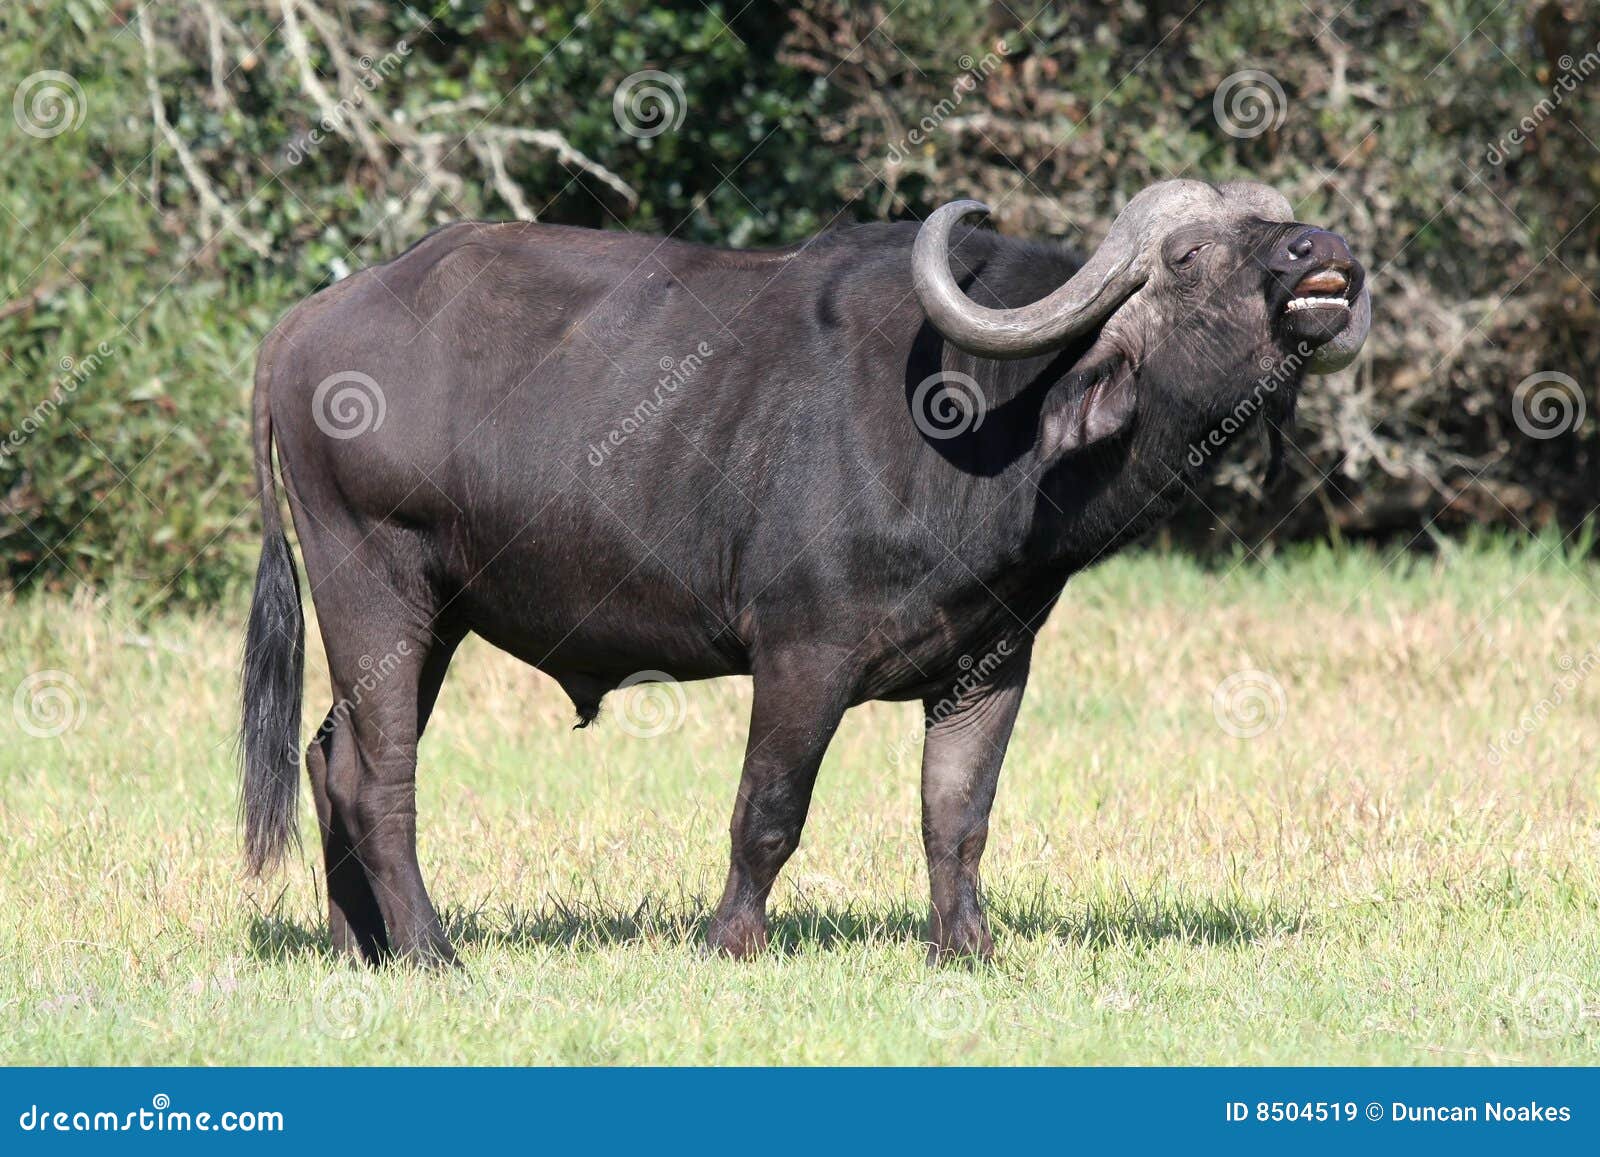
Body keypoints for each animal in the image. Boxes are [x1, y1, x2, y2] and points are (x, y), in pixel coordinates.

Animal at [240, 179, 1370, 966]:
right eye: (1188, 252)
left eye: (1277, 223)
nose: (1322, 252)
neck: (988, 417)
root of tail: (302, 326)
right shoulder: (801, 653)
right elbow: (769, 808)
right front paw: (729, 940)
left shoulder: (993, 661)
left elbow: (957, 814)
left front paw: (965, 947)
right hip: (374, 579)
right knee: (381, 774)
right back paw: (432, 950)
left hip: (435, 613)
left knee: (331, 756)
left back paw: (359, 945)